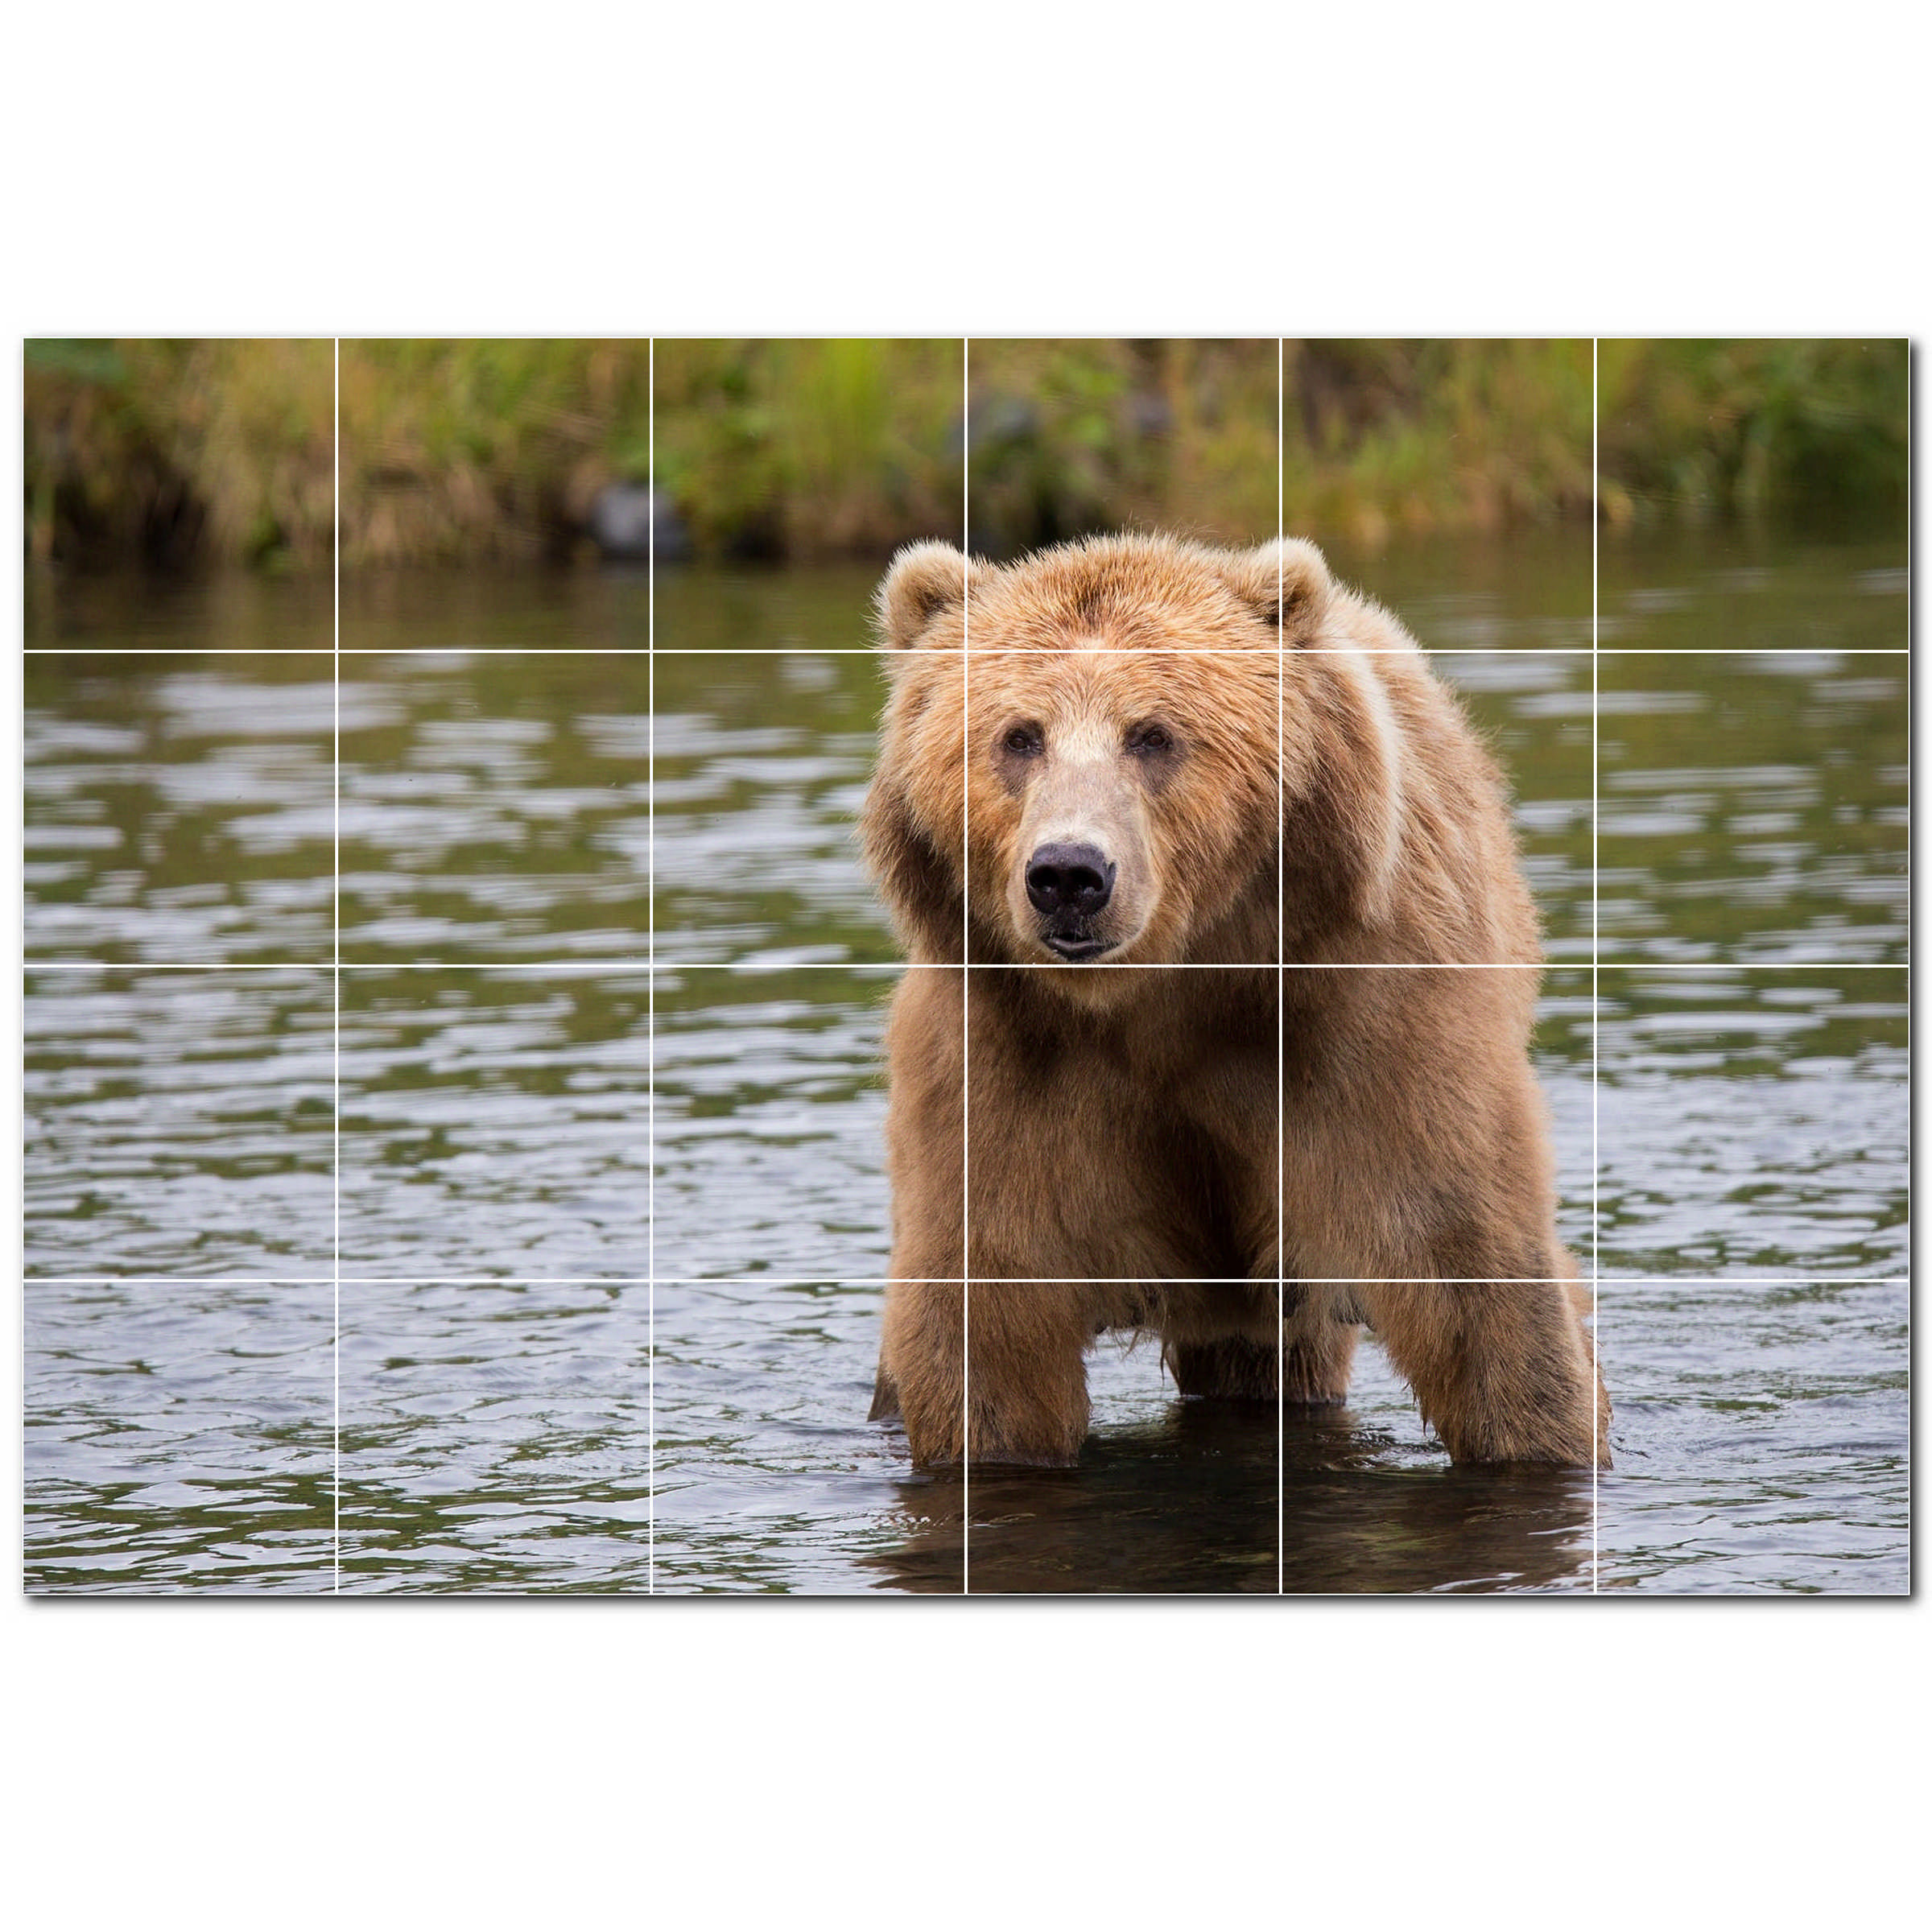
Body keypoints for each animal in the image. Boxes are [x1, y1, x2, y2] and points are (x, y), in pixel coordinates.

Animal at [859, 531, 1610, 1470]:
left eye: (1152, 735)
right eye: (1019, 737)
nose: (1069, 874)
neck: (1171, 992)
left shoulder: (1368, 1030)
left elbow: (1477, 1280)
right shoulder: (1004, 1061)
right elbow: (990, 1327)